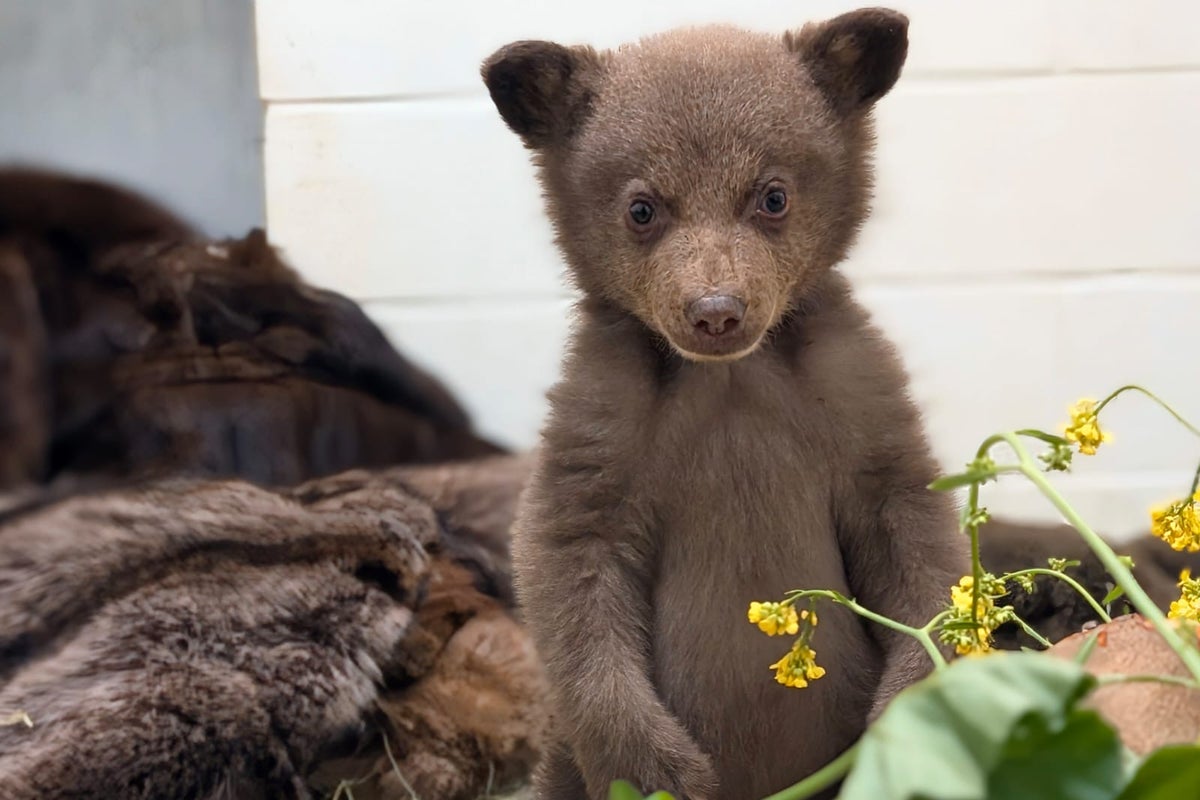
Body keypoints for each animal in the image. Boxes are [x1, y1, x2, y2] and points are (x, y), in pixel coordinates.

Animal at [482, 8, 968, 800]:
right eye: (642, 208)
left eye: (772, 196)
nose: (715, 311)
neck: (729, 378)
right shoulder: (600, 422)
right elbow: (567, 567)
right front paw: (659, 768)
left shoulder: (859, 396)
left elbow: (916, 538)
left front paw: (903, 722)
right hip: (558, 765)